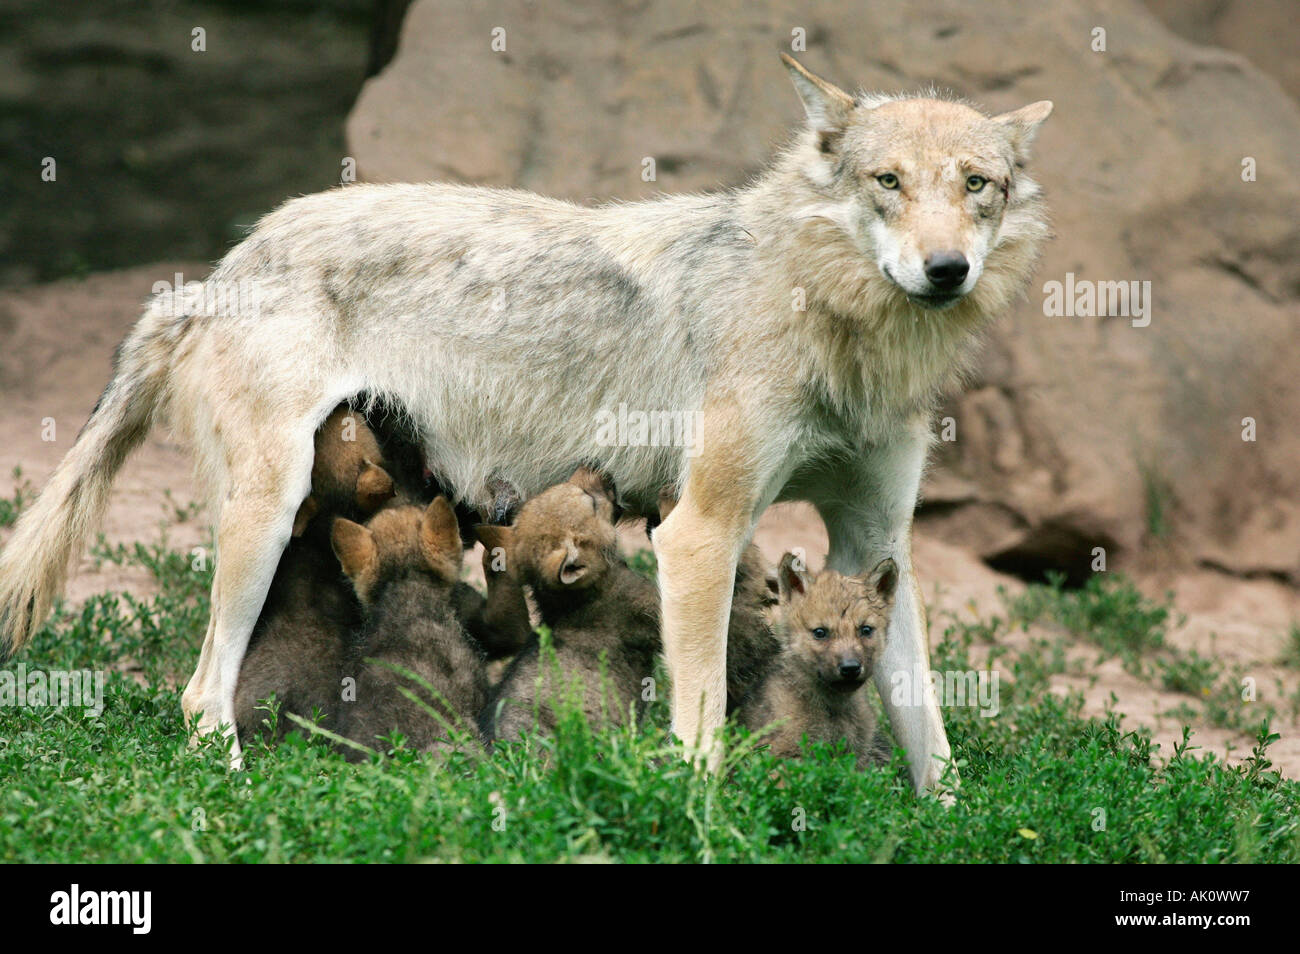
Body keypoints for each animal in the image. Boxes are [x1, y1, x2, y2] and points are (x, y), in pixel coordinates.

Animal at [737, 553, 897, 770]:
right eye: (820, 632)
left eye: (865, 630)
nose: (850, 668)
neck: (834, 709)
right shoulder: (781, 755)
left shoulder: (860, 756)